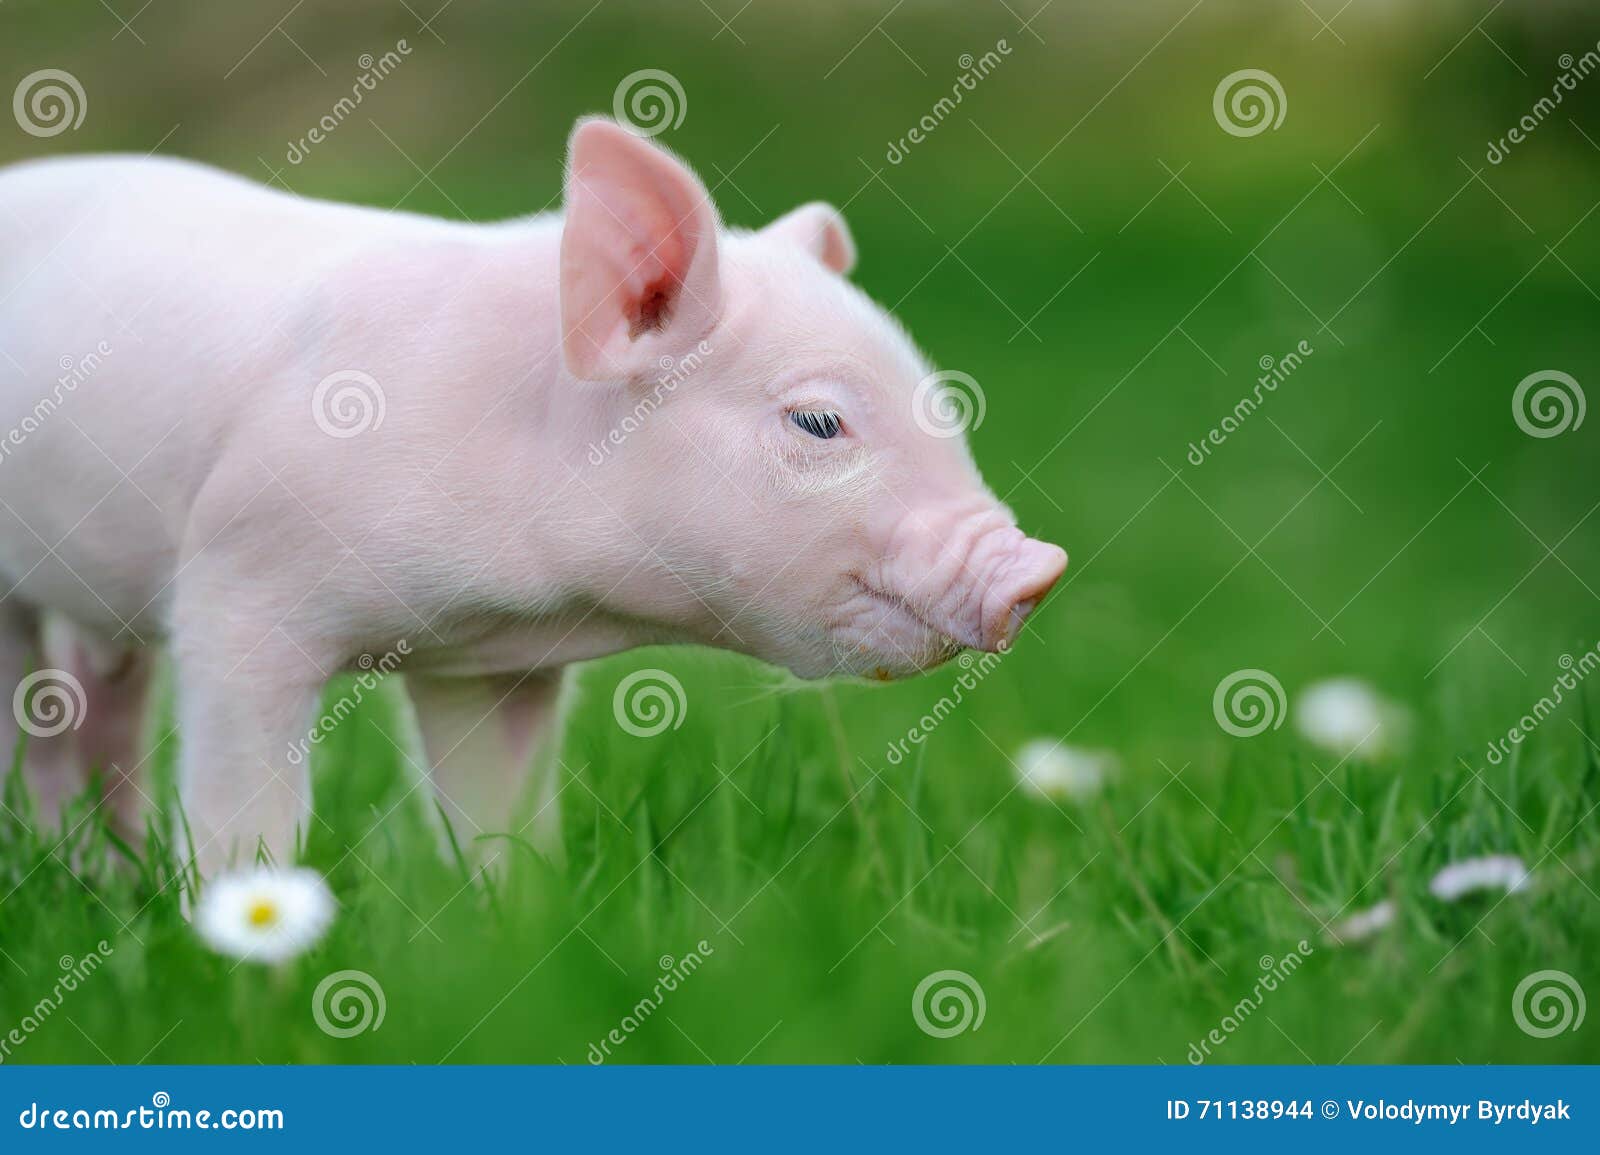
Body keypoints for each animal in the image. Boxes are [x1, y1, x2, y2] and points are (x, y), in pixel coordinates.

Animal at [0, 117, 1067, 875]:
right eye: (817, 422)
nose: (1039, 567)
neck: (525, 591)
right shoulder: (237, 581)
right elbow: (243, 802)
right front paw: (249, 951)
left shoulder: (485, 667)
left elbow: (496, 810)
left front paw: (511, 922)